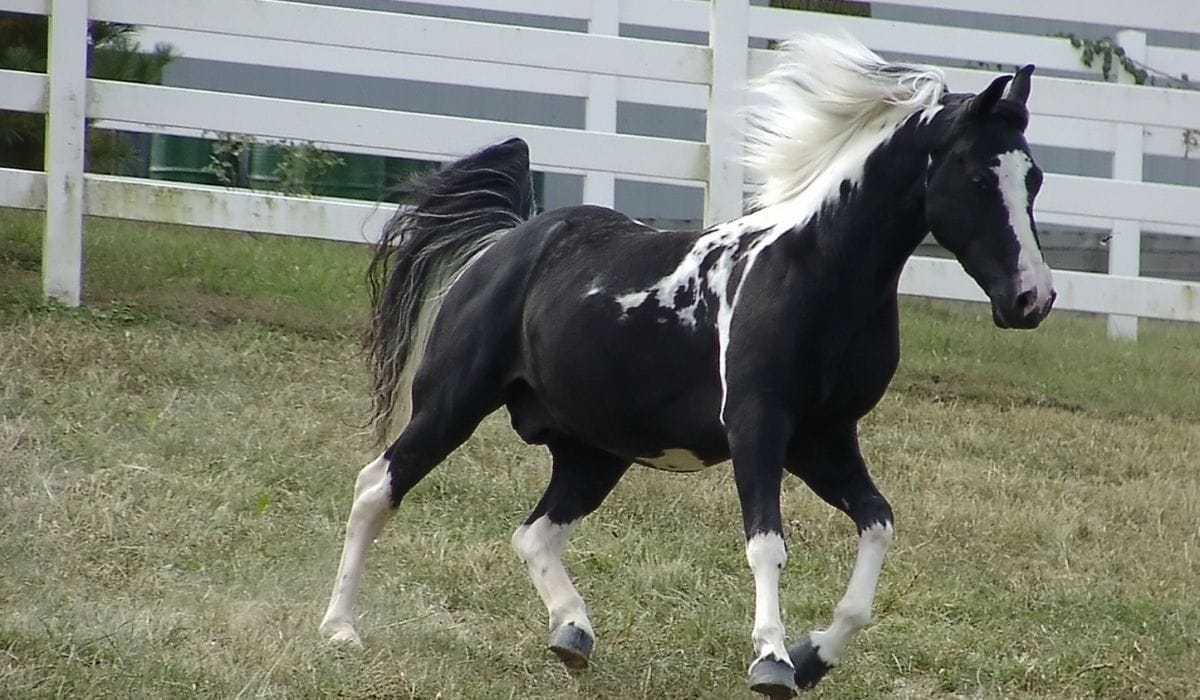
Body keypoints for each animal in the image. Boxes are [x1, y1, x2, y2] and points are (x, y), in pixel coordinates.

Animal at [318, 35, 1055, 698]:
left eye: (1034, 178)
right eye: (976, 176)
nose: (1033, 299)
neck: (814, 273)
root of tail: (509, 240)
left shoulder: (825, 439)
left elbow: (878, 525)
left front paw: (812, 656)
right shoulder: (758, 426)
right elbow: (767, 542)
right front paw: (772, 662)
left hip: (593, 451)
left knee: (535, 534)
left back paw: (574, 635)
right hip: (452, 402)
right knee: (377, 486)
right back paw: (340, 629)